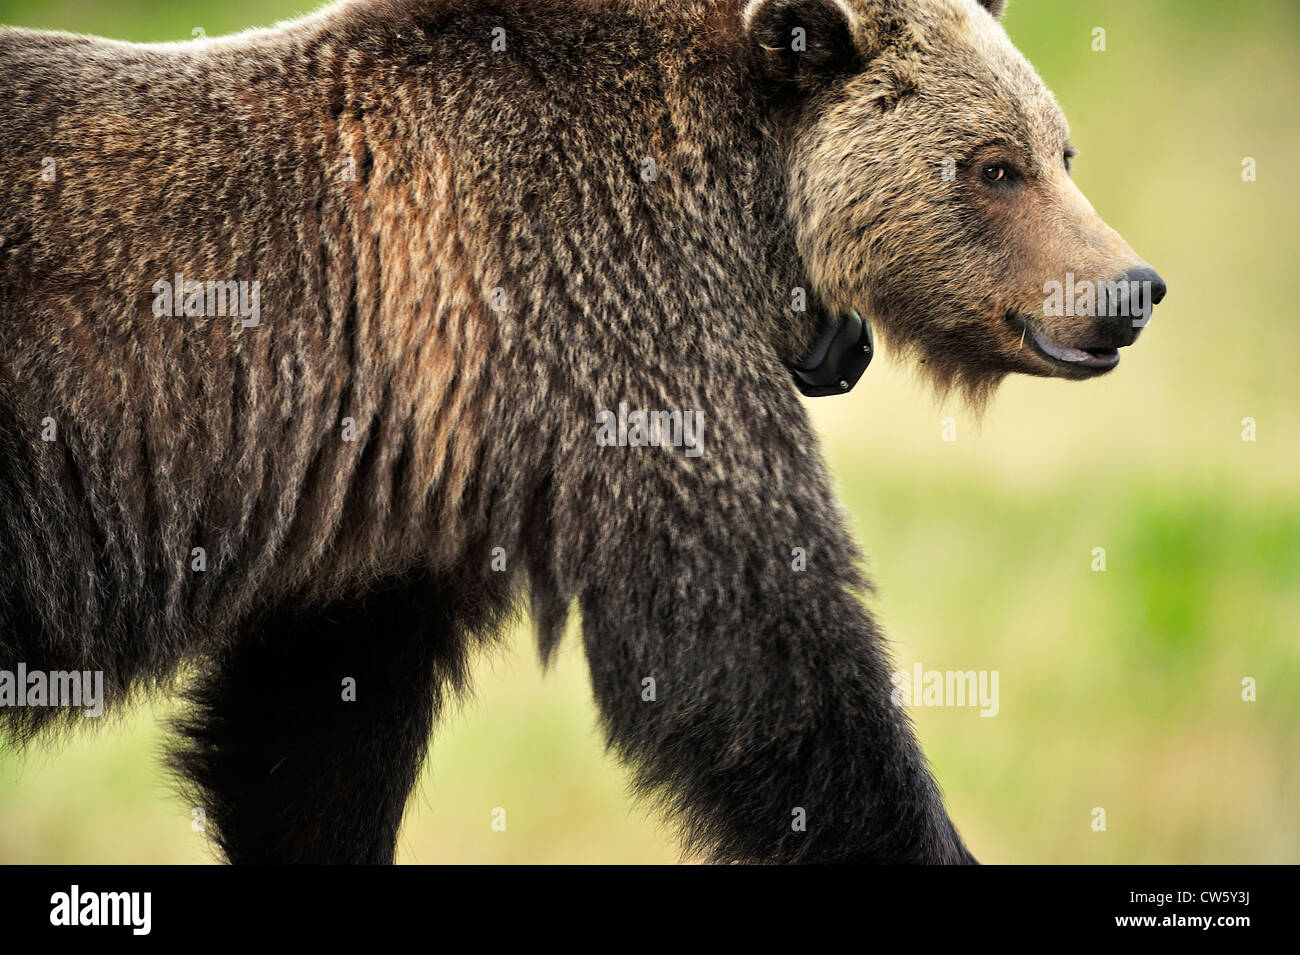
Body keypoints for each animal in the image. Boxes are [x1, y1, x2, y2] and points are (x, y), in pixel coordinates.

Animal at [0, 0, 1165, 864]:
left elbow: (311, 730)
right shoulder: (590, 303)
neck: (749, 214)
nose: (1127, 288)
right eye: (993, 165)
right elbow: (752, 642)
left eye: (1060, 150)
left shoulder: (402, 477)